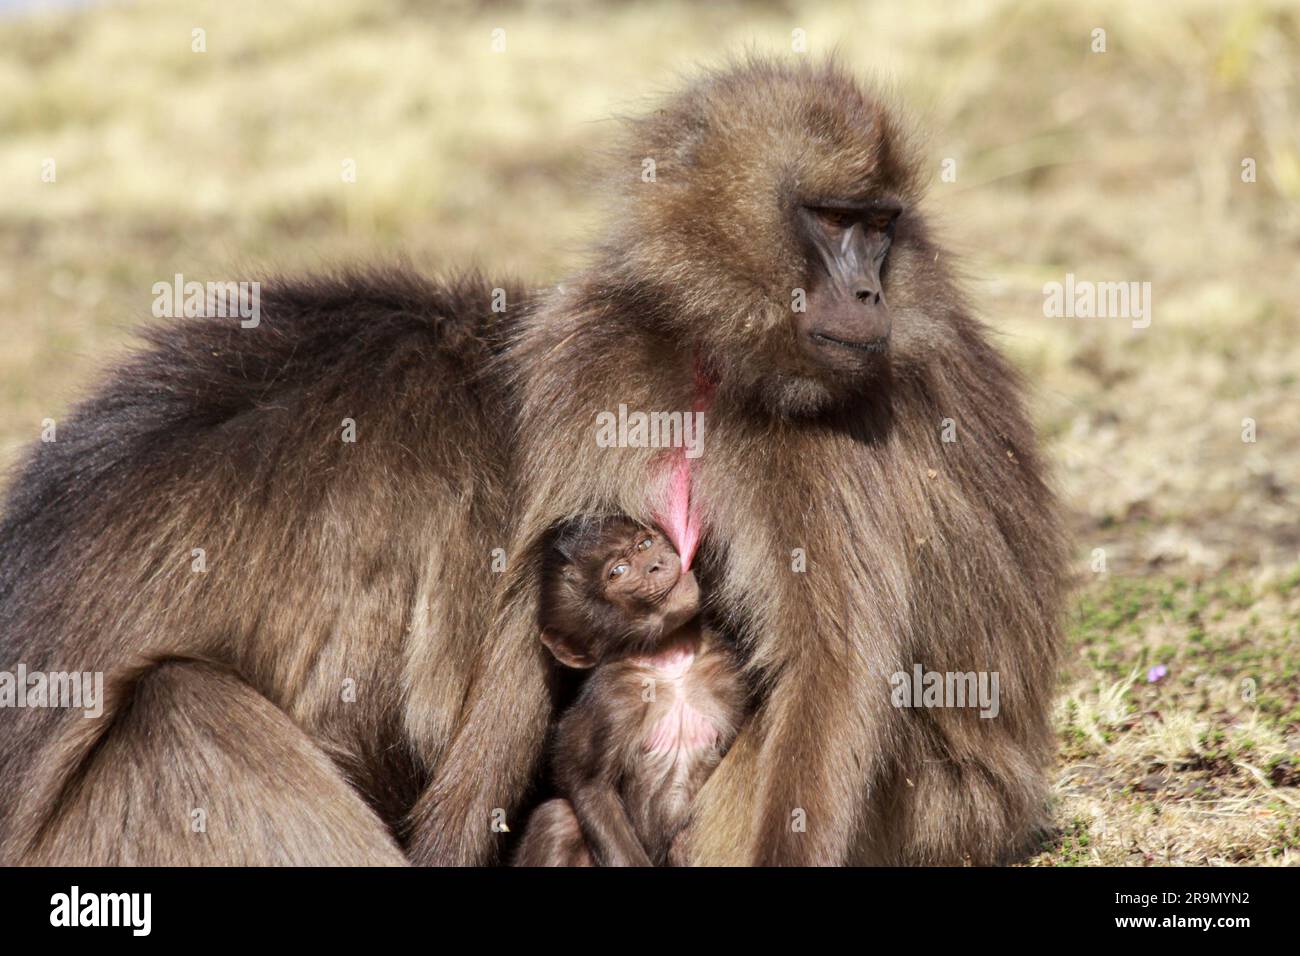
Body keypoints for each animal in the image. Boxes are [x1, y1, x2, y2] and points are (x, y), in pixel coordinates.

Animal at [512, 517, 746, 867]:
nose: (655, 564)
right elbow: (590, 787)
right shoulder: (611, 699)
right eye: (618, 572)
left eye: (644, 545)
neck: (670, 662)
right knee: (557, 819)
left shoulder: (725, 670)